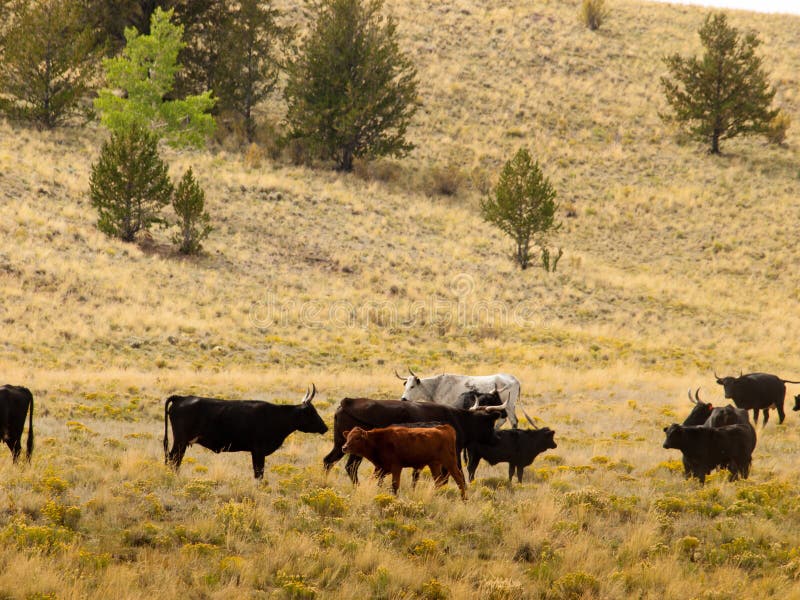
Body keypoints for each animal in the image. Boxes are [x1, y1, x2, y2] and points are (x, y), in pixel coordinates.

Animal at [164, 385, 327, 479]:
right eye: (312, 412)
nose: (325, 427)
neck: (275, 416)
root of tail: (181, 398)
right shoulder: (258, 452)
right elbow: (259, 473)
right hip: (180, 441)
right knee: (173, 460)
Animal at [322, 397, 505, 483]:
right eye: (490, 422)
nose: (497, 438)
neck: (459, 419)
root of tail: (347, 402)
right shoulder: (454, 453)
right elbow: (453, 475)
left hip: (340, 445)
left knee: (328, 461)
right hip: (354, 450)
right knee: (350, 467)